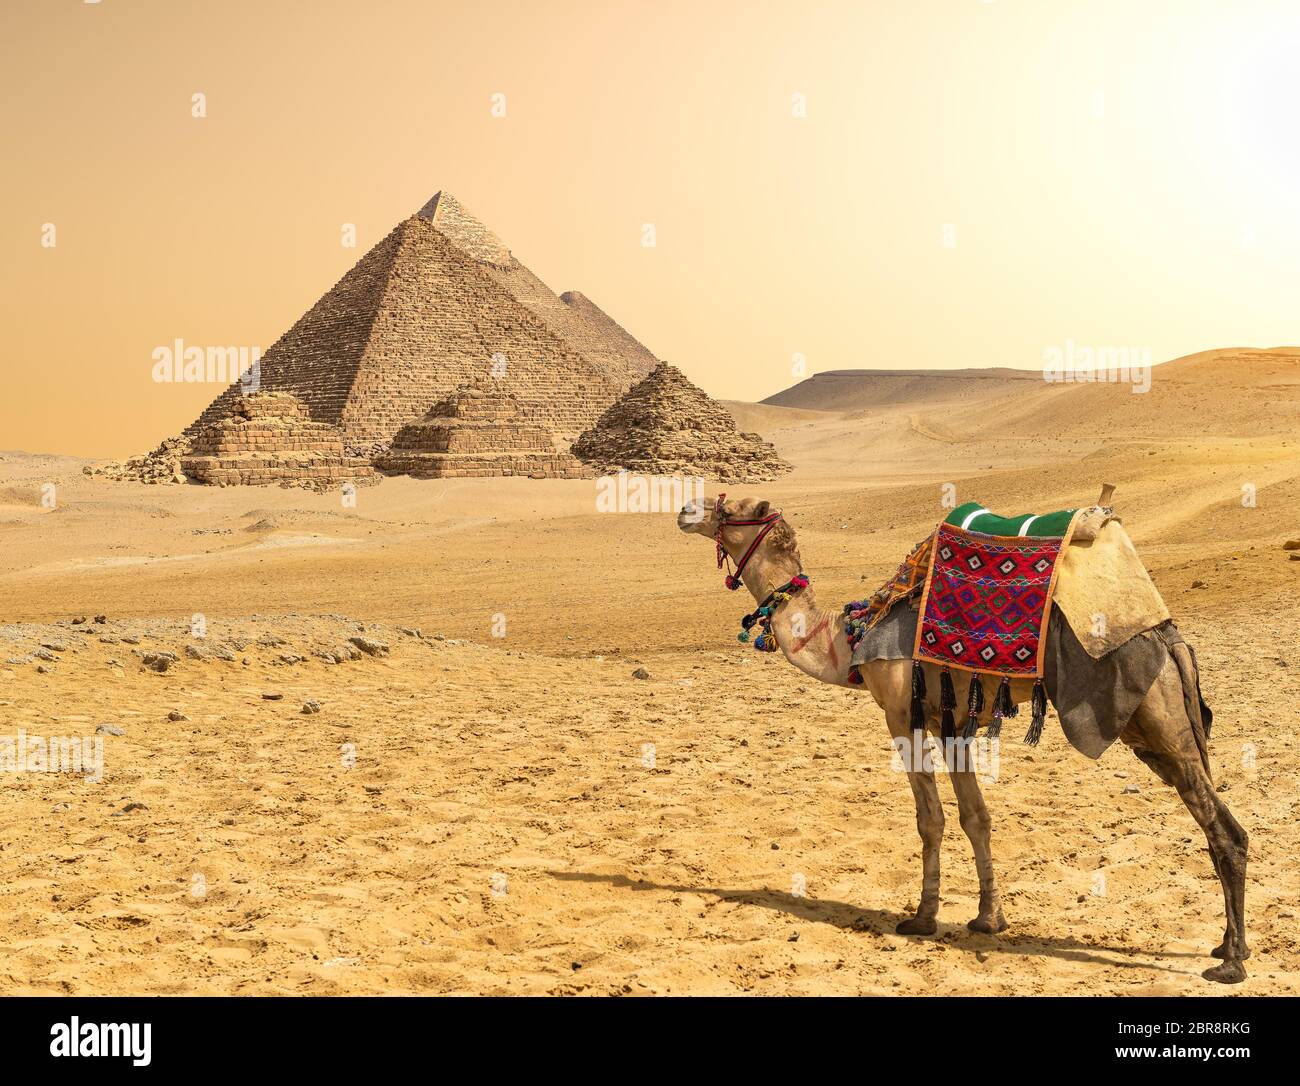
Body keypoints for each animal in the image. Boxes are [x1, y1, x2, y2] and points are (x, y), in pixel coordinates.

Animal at [677, 493, 1249, 983]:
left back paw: (1232, 962)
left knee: (1223, 829)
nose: (685, 509)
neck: (849, 639)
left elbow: (930, 819)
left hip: (1152, 714)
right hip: (1155, 730)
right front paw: (988, 918)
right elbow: (977, 817)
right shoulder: (953, 720)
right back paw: (1226, 944)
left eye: (733, 508)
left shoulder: (901, 715)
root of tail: (1170, 638)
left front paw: (922, 917)